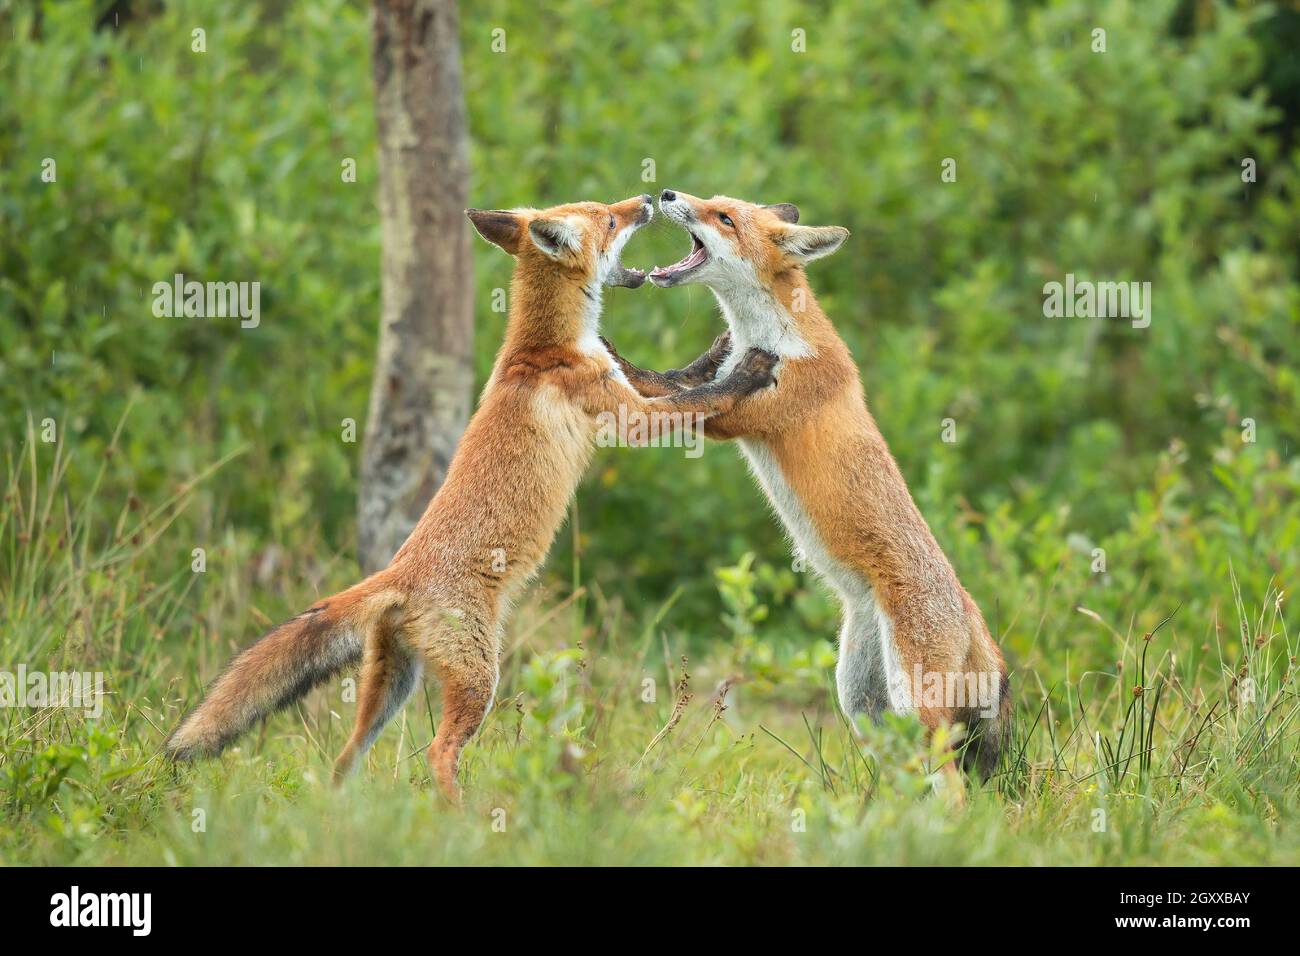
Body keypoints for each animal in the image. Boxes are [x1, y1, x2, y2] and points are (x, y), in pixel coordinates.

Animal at [165, 194, 777, 802]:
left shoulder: (625, 384)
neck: (543, 345)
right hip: (480, 676)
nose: (648, 199)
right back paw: (461, 816)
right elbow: (697, 400)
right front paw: (745, 372)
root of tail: (398, 575)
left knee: (346, 756)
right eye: (609, 218)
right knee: (439, 752)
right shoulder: (626, 414)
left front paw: (717, 353)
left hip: (393, 684)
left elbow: (674, 377)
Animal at [603, 189, 1010, 792]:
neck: (769, 334)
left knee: (952, 785)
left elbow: (682, 396)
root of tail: (968, 608)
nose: (669, 194)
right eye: (711, 201)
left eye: (725, 217)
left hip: (914, 703)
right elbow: (662, 381)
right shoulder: (709, 375)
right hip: (863, 700)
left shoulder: (740, 415)